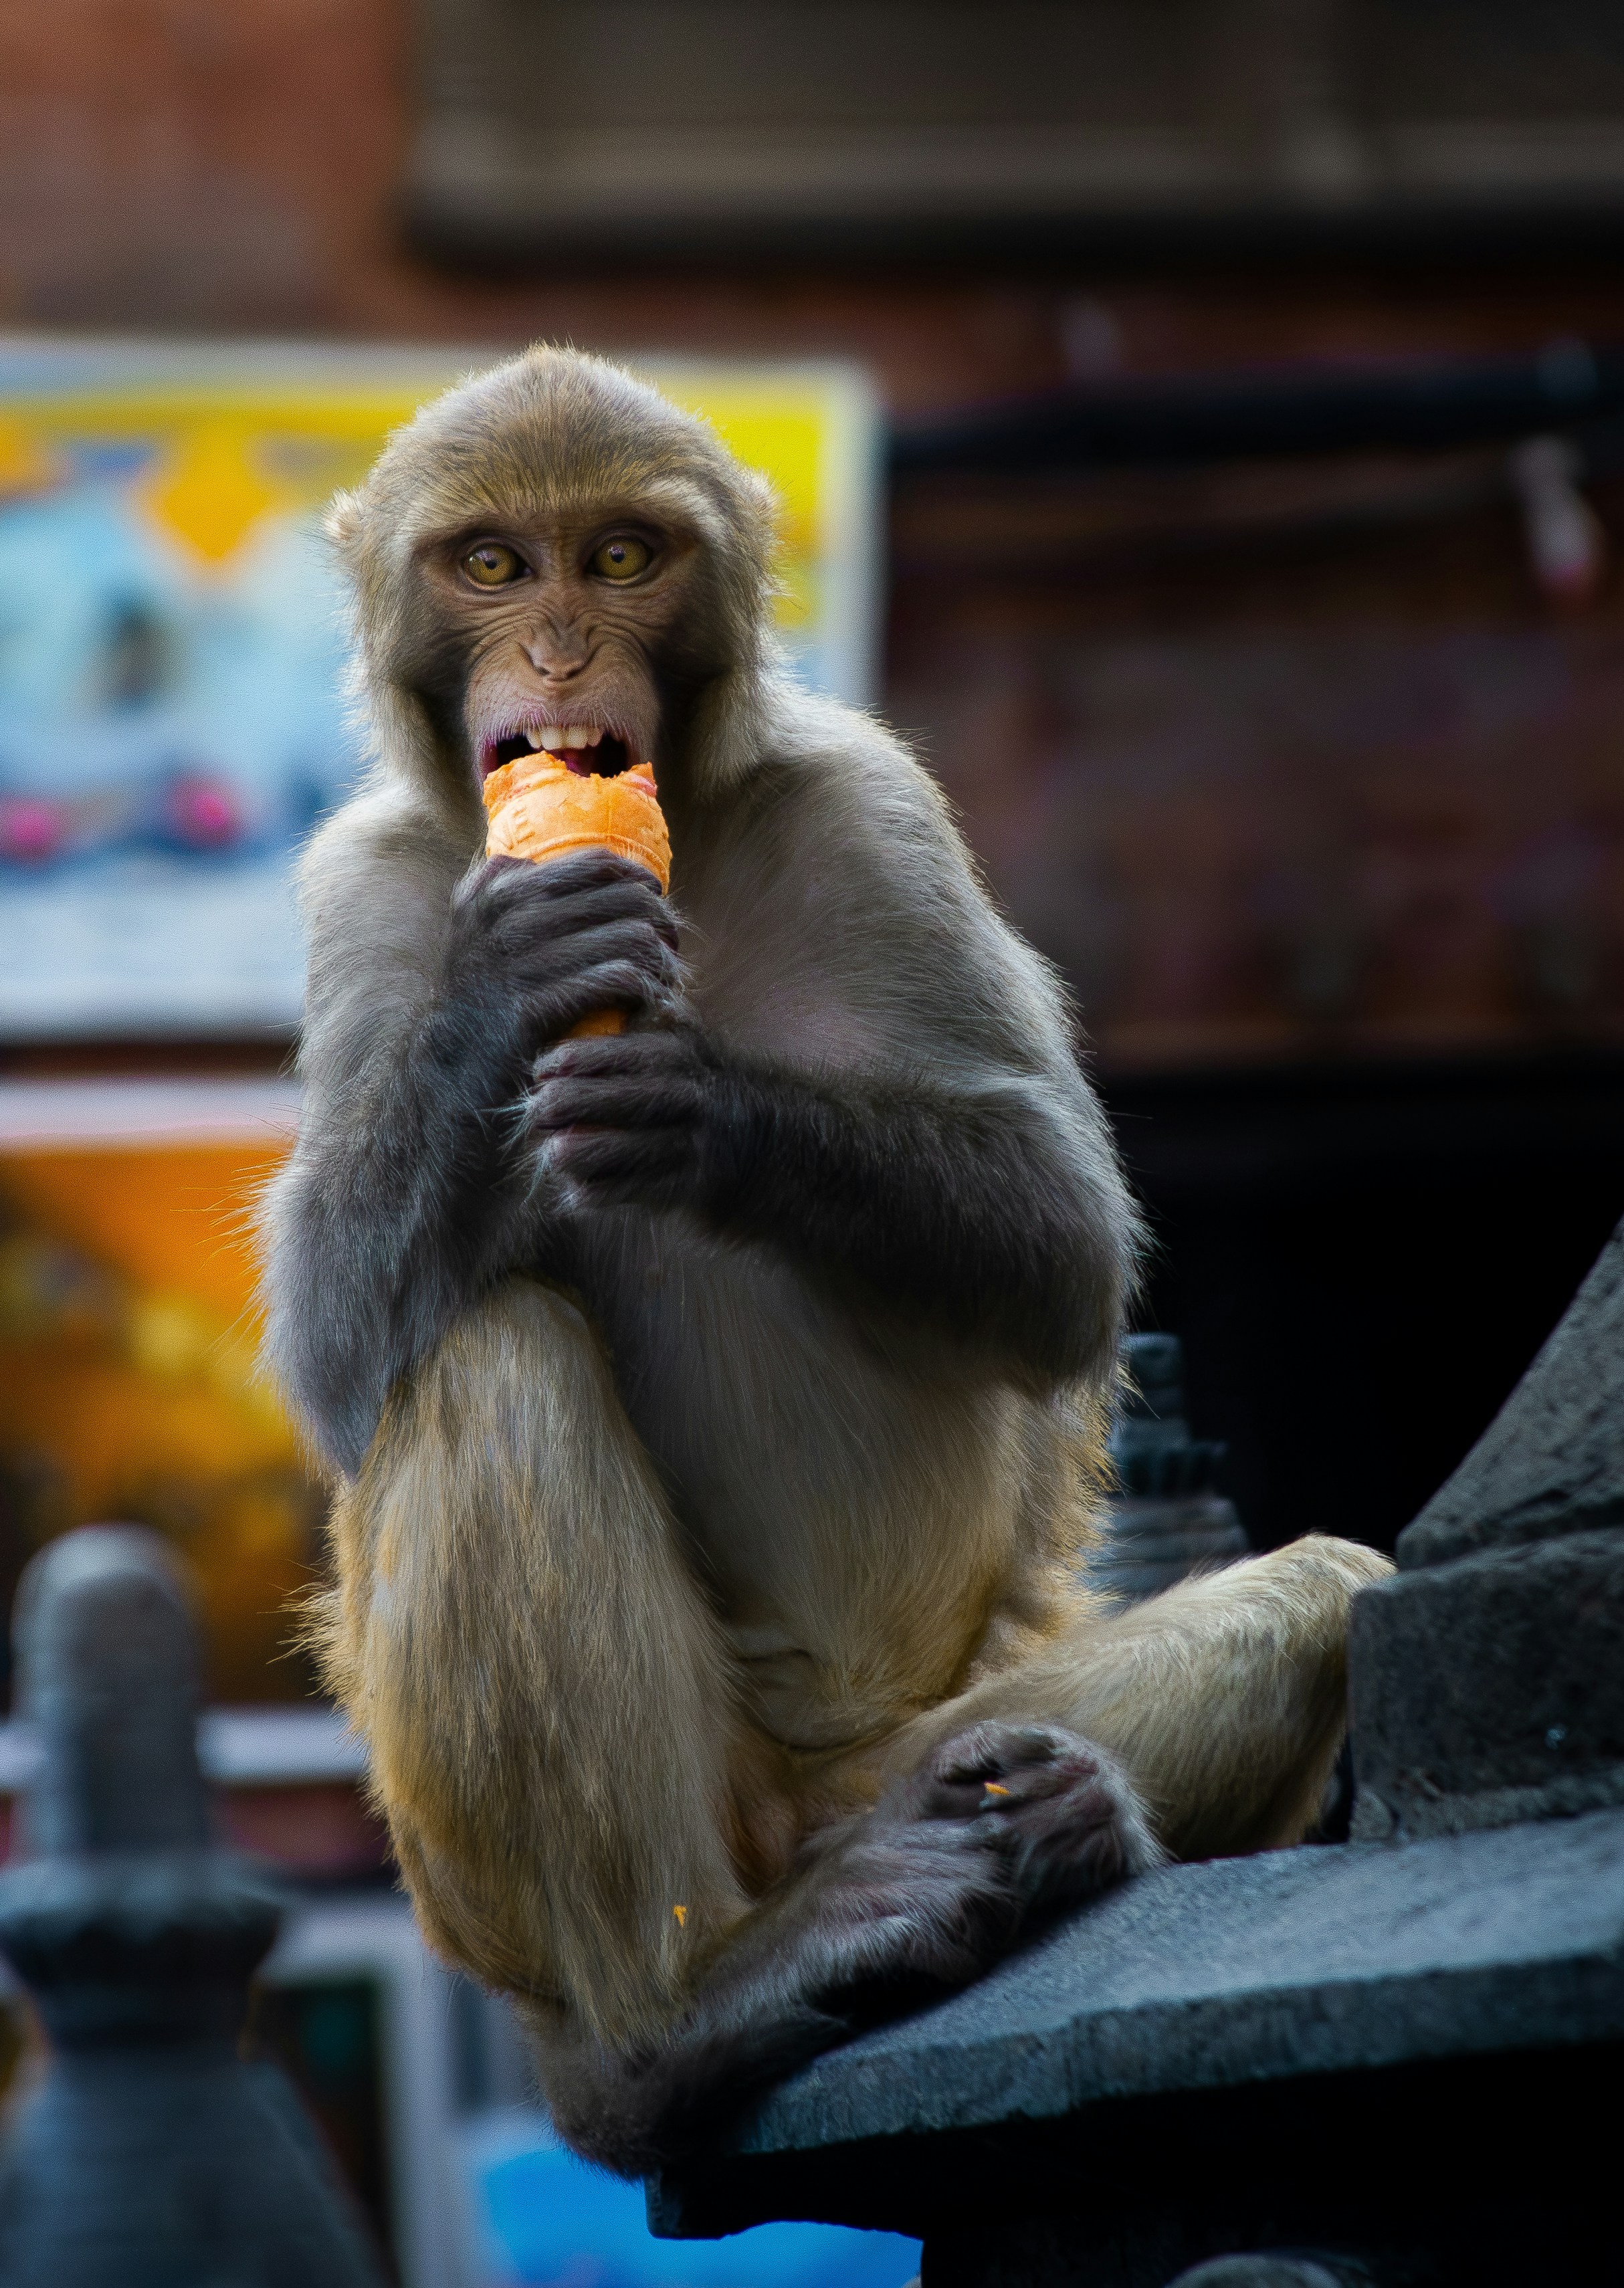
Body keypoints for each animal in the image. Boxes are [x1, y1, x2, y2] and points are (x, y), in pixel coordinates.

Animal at [260, 347, 1391, 2177]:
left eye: (620, 556)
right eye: (493, 564)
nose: (558, 655)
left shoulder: (875, 810)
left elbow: (1059, 1242)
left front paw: (703, 1111)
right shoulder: (358, 894)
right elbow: (335, 1351)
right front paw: (505, 987)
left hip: (898, 1753)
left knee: (1318, 1600)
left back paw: (1062, 1826)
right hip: (519, 1885)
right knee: (488, 1348)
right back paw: (665, 2031)